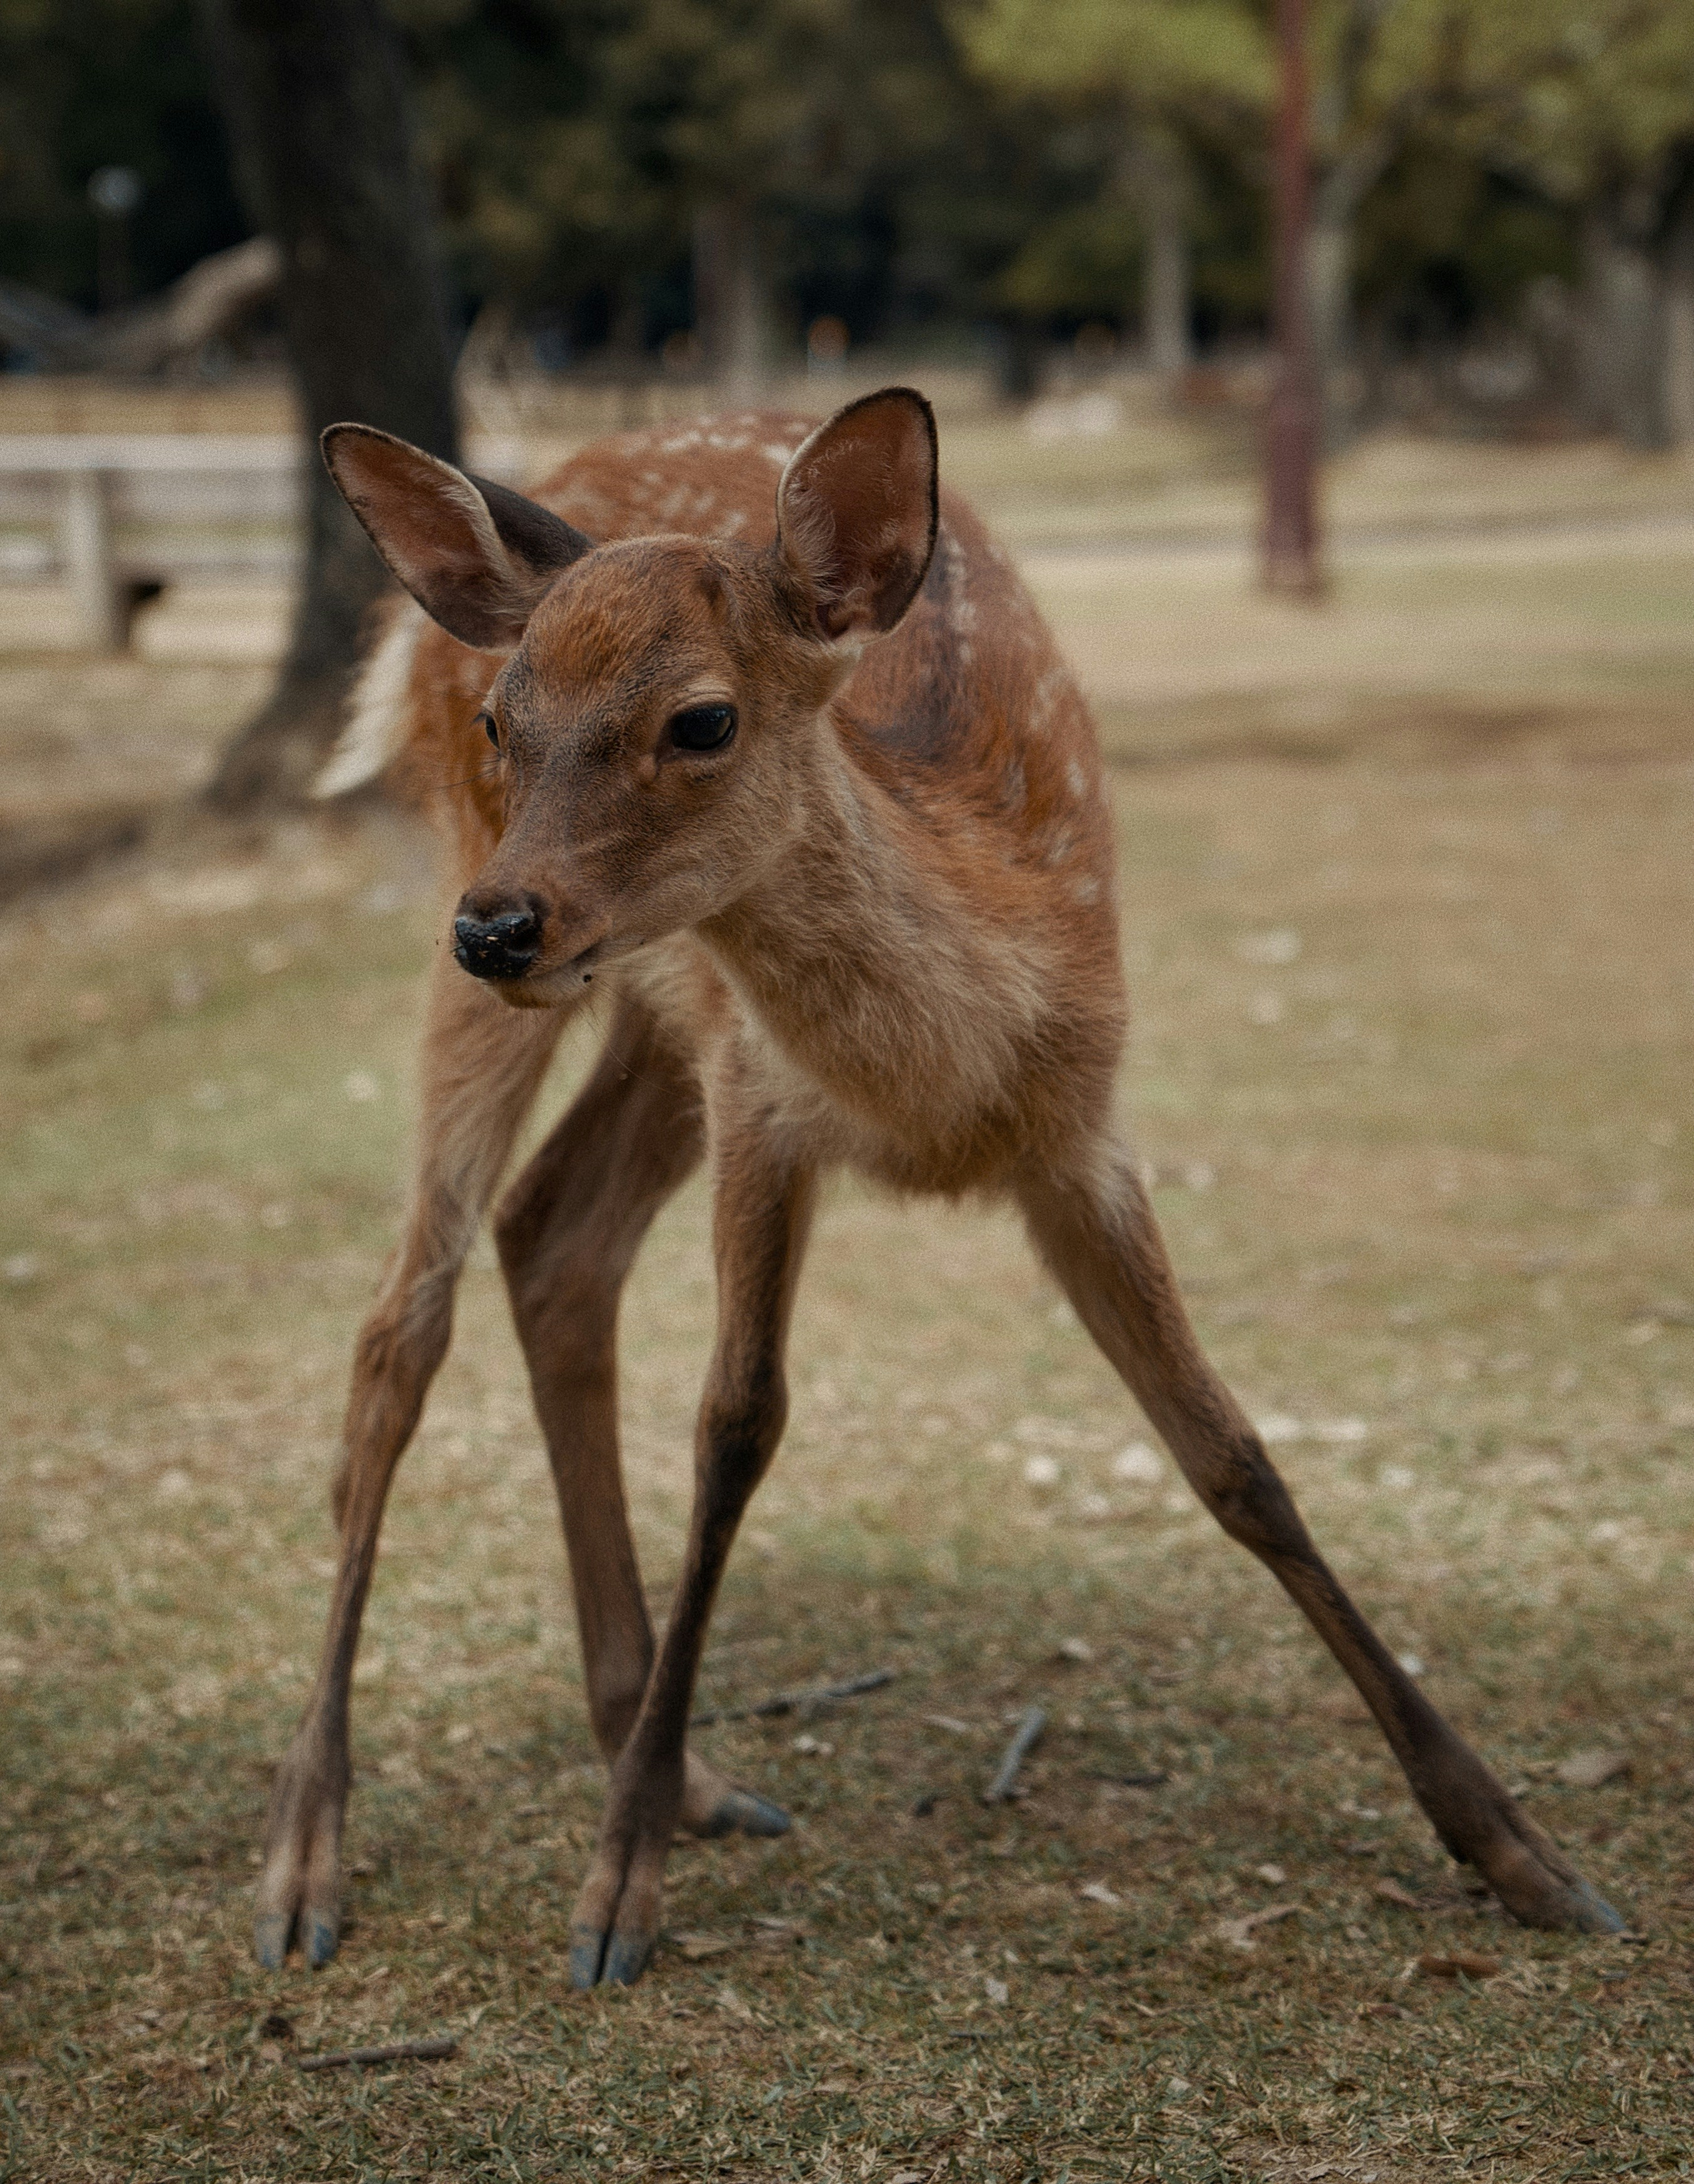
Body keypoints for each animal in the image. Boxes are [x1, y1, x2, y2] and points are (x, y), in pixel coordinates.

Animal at [255, 386, 1622, 1988]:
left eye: (701, 718)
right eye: (502, 718)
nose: (497, 927)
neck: (939, 1091)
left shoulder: (1079, 1133)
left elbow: (1232, 1453)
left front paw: (1521, 1850)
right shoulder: (762, 1102)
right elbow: (734, 1429)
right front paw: (613, 1892)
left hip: (640, 1008)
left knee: (554, 1238)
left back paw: (683, 1769)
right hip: (536, 966)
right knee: (402, 1323)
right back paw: (307, 1860)